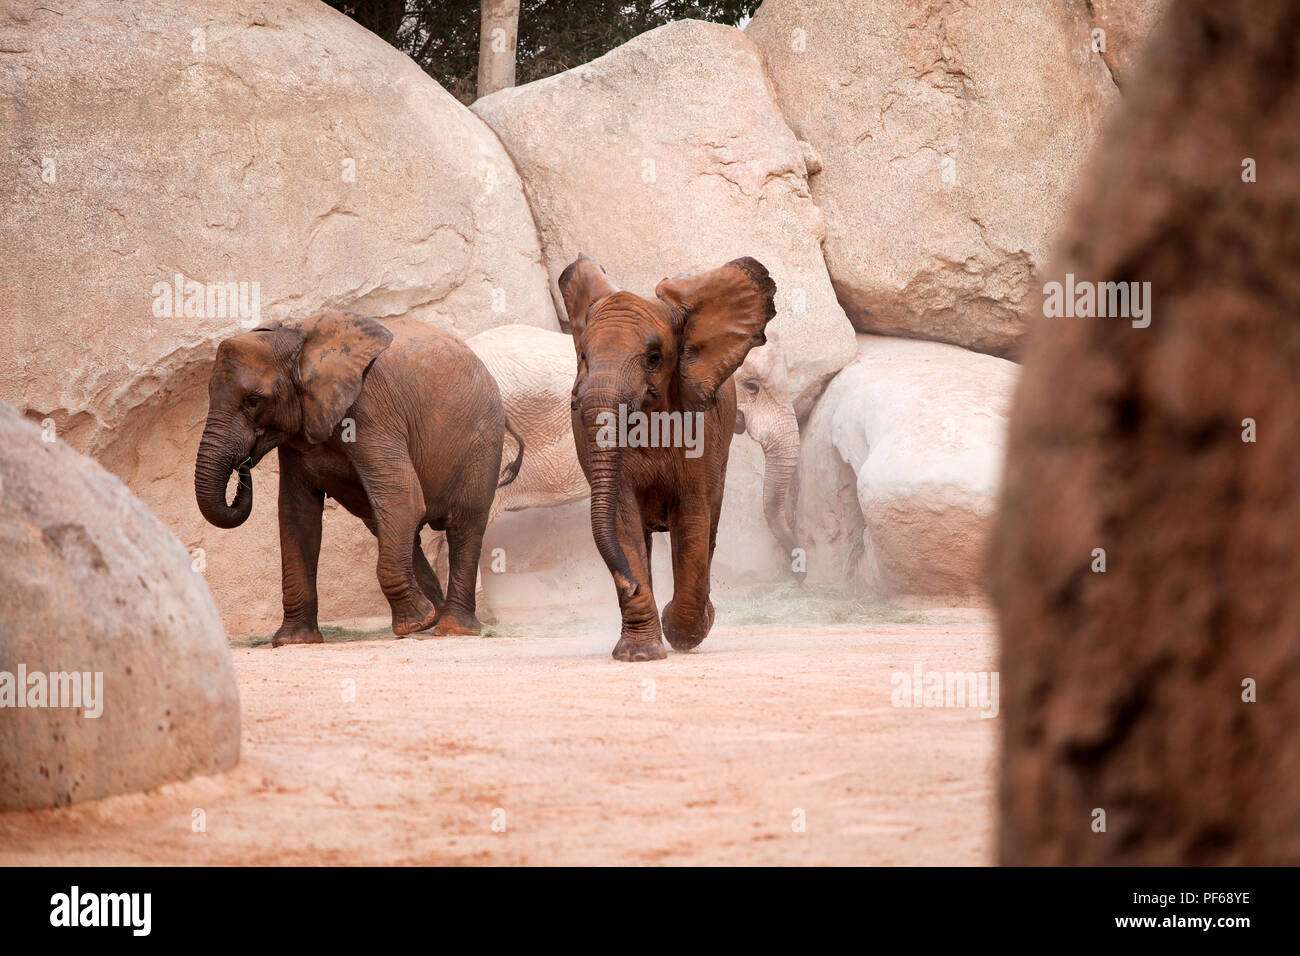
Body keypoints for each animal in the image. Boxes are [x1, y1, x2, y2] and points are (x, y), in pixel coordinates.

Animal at [193, 311, 518, 645]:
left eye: (253, 400)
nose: (244, 463)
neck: (297, 340)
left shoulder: (371, 411)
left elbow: (403, 496)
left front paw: (411, 626)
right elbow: (298, 517)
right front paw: (293, 641)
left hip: (483, 439)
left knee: (463, 523)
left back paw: (451, 627)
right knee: (389, 525)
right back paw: (433, 614)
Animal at [559, 253, 778, 661]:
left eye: (654, 358)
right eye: (582, 356)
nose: (627, 585)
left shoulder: (701, 430)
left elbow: (693, 523)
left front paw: (684, 633)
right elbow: (621, 522)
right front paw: (640, 653)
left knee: (708, 527)